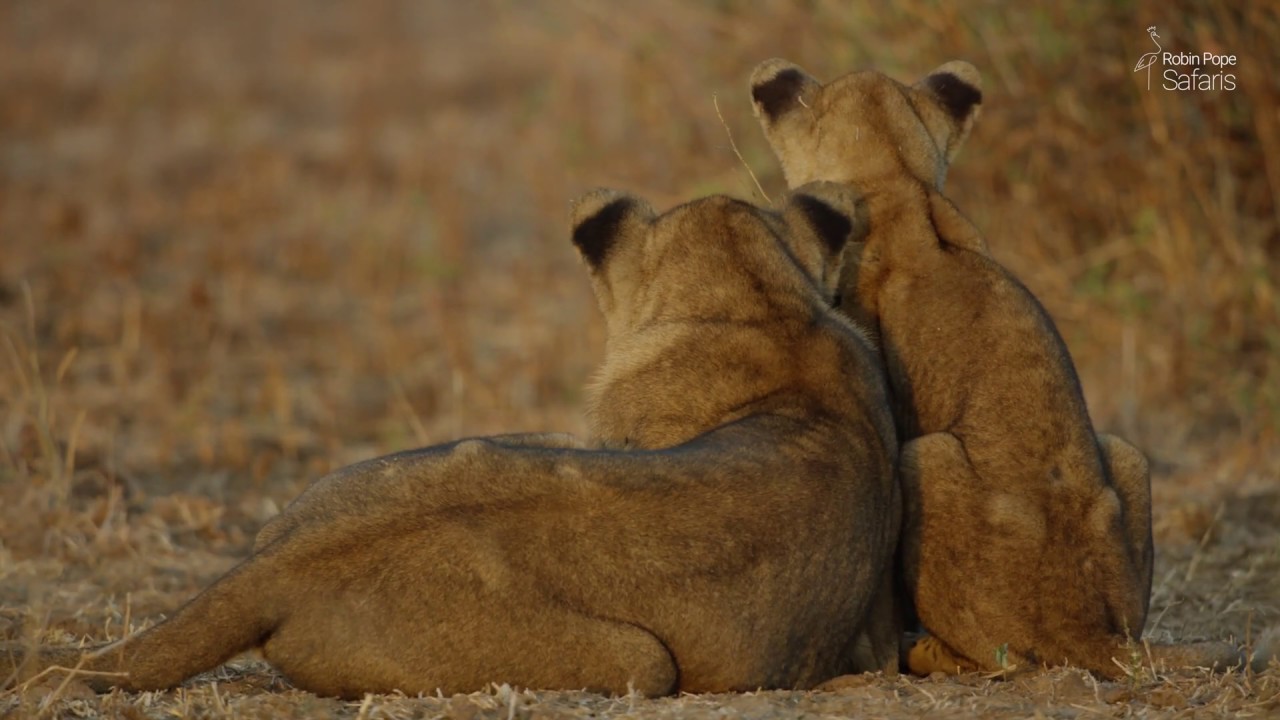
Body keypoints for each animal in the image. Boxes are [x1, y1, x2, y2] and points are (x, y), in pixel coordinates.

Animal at [748, 58, 1246, 678]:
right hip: (1125, 457)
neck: (895, 179)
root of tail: (1087, 628)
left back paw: (923, 650)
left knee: (997, 658)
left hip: (926, 455)